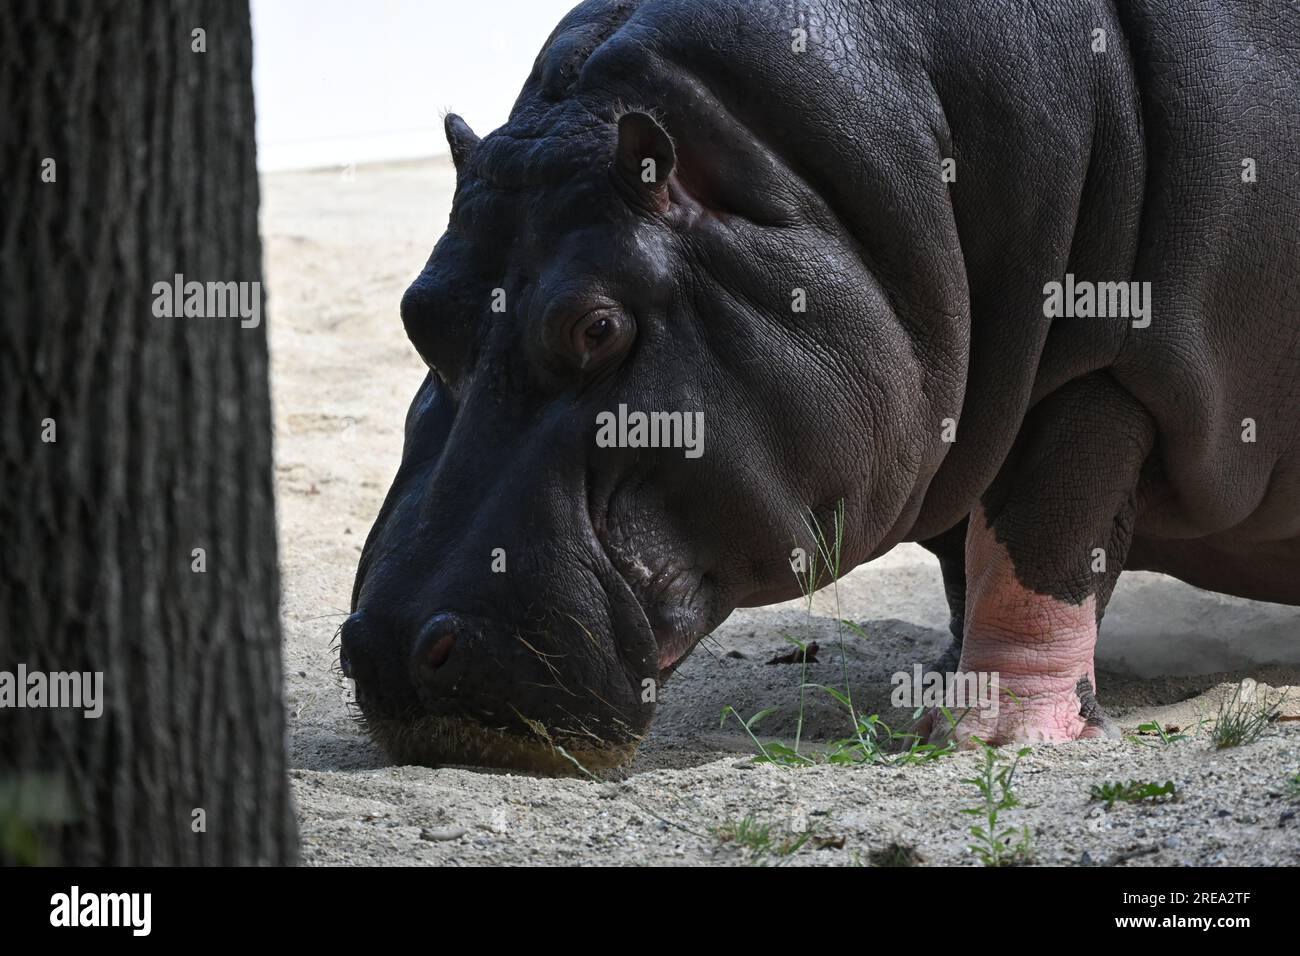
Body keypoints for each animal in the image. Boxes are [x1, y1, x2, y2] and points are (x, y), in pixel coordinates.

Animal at [342, 0, 1300, 772]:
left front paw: (993, 738)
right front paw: (939, 693)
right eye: (415, 311)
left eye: (597, 328)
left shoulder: (1102, 371)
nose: (387, 649)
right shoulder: (965, 411)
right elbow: (973, 560)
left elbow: (1039, 549)